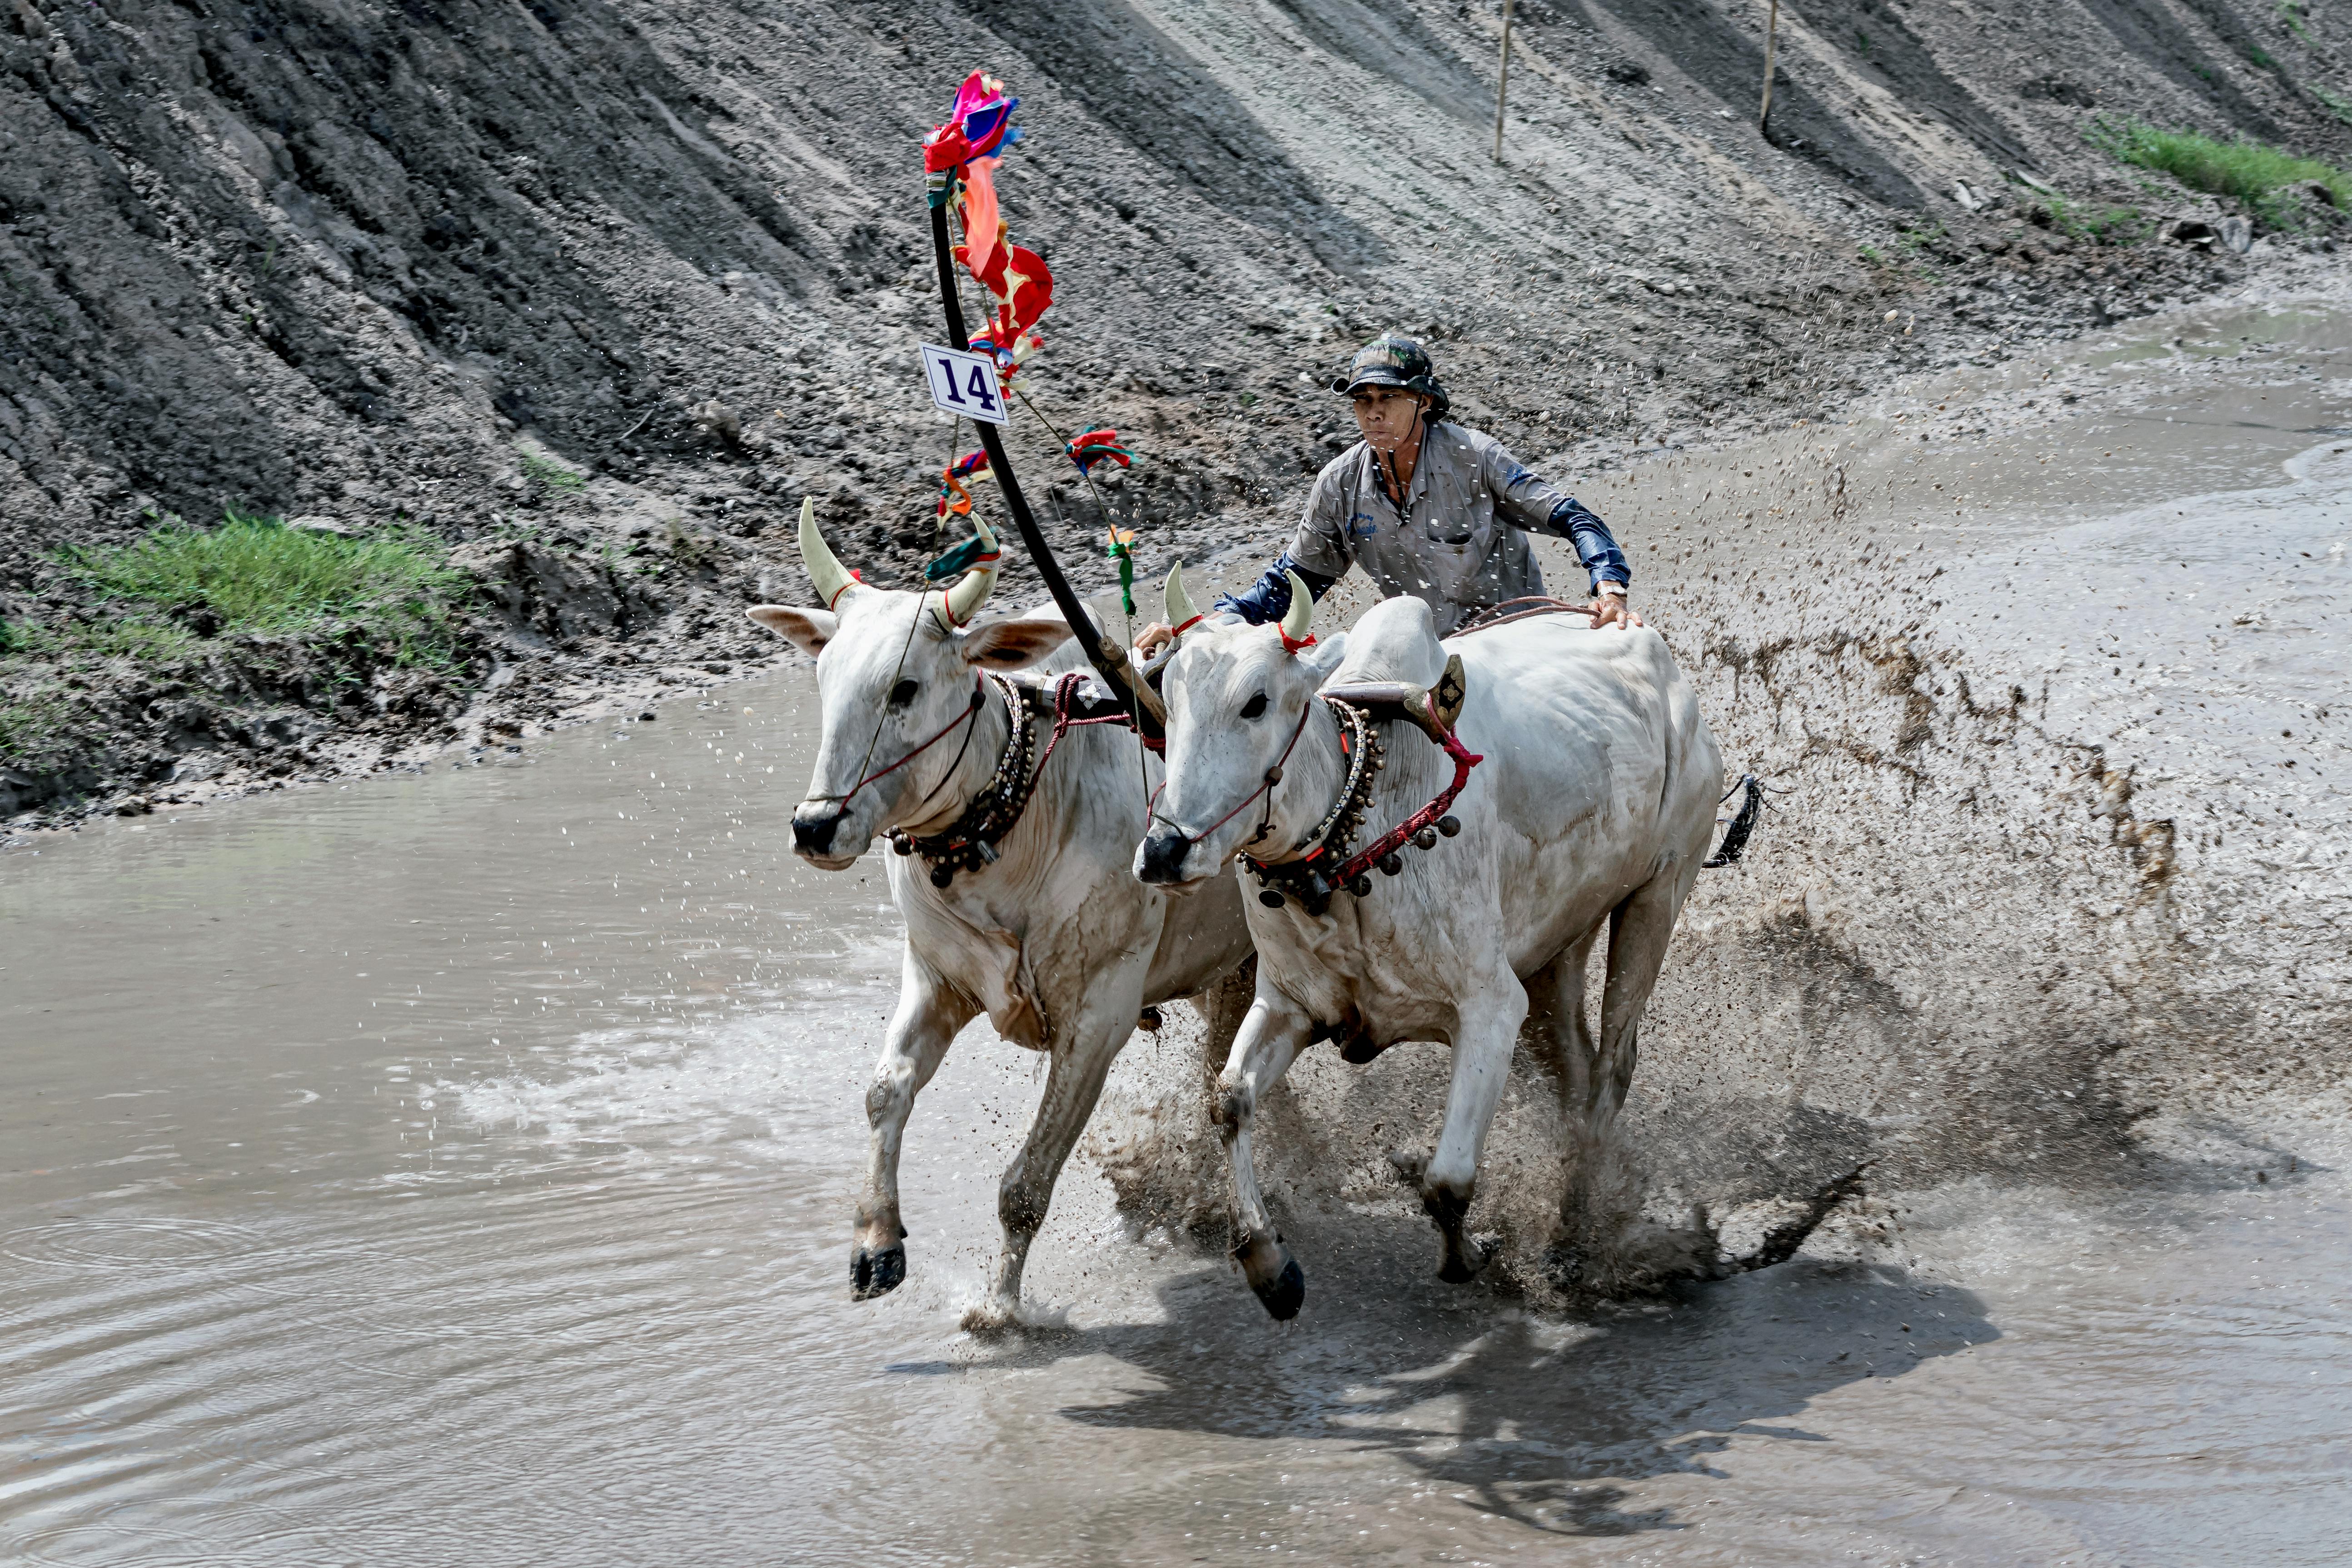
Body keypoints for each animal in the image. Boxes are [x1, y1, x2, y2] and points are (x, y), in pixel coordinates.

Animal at [746, 503, 1256, 1327]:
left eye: (905, 687)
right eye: (826, 678)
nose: (816, 827)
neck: (1014, 825)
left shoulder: (1099, 1018)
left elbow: (1025, 1185)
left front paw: (999, 1308)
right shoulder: (936, 978)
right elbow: (884, 1090)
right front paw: (875, 1246)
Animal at [1133, 573, 1723, 1319]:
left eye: (1255, 702)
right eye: (1168, 696)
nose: (1163, 849)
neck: (1352, 832)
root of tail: (1659, 661)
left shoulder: (1491, 1006)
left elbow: (1447, 1179)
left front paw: (1474, 1252)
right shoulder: (1289, 1004)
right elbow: (1230, 1099)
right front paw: (1270, 1266)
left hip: (1658, 892)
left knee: (1609, 1075)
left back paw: (1571, 1242)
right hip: (1562, 943)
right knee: (1575, 1069)